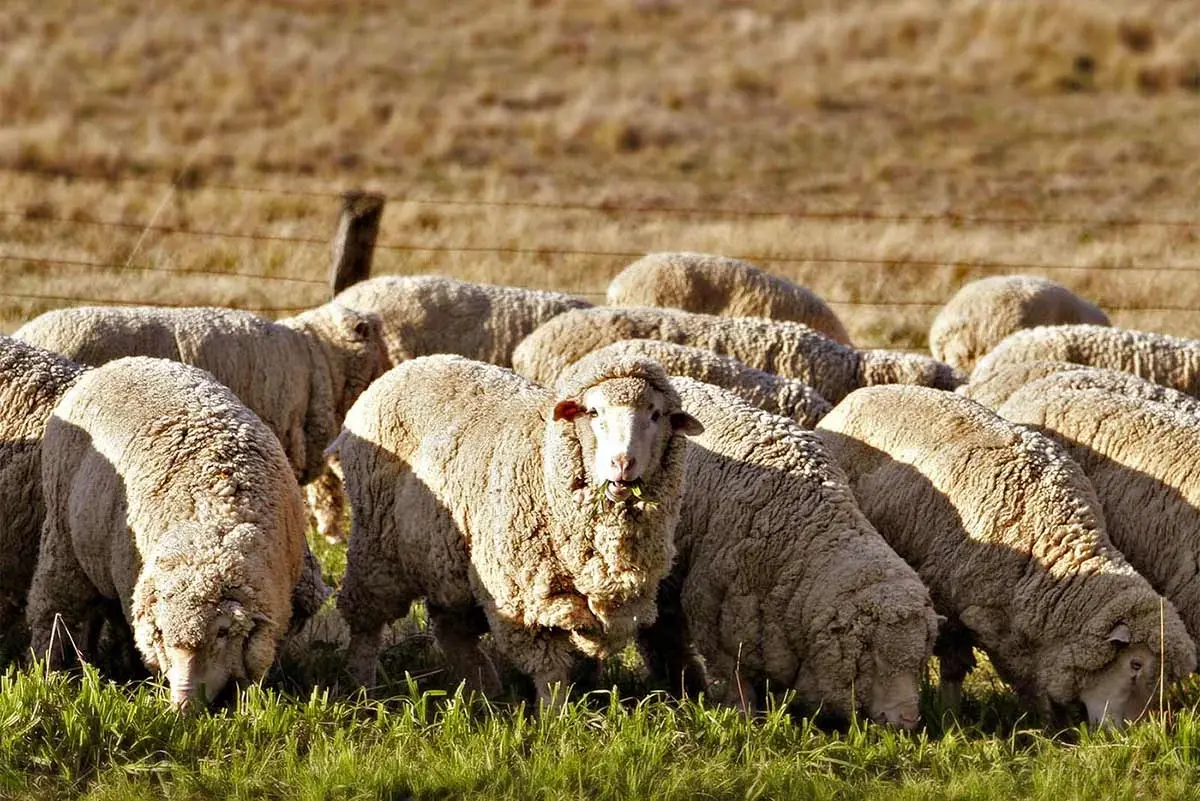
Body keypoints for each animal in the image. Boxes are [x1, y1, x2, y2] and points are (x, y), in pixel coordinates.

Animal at [27, 357, 309, 709]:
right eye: (161, 633)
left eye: (222, 632)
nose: (182, 707)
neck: (213, 519)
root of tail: (120, 362)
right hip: (62, 536)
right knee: (54, 609)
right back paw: (48, 671)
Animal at [332, 354, 703, 704]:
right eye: (594, 412)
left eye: (656, 415)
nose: (623, 464)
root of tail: (405, 367)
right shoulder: (522, 595)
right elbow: (550, 669)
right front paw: (556, 716)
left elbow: (589, 651)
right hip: (375, 543)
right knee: (367, 622)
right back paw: (362, 684)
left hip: (447, 560)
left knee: (451, 628)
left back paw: (483, 689)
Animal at [620, 375, 939, 727]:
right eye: (874, 658)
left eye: (921, 658)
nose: (908, 720)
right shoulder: (712, 612)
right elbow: (732, 677)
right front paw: (741, 716)